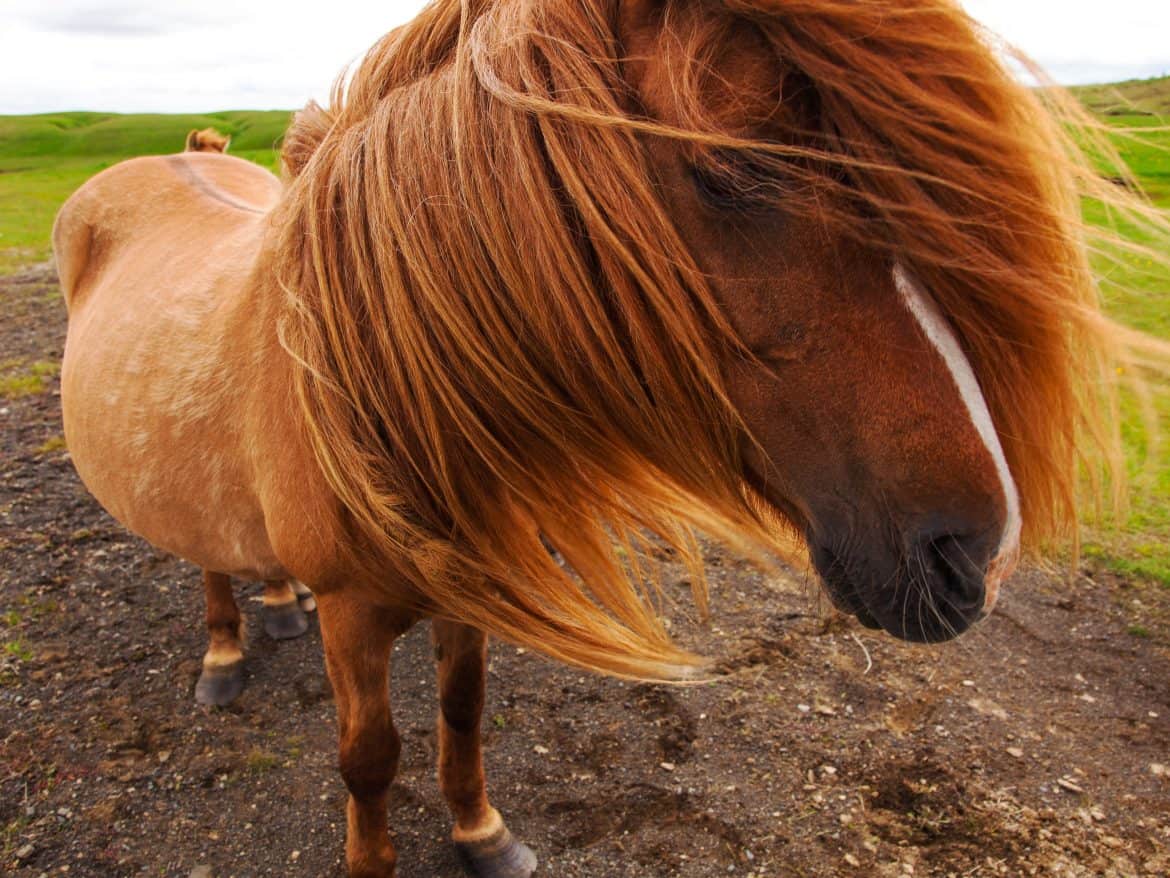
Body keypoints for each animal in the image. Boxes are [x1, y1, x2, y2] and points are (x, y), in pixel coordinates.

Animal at [52, 1, 1168, 875]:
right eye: (734, 171)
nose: (978, 554)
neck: (360, 379)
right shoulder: (356, 614)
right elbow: (369, 759)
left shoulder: (472, 585)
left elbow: (464, 713)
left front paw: (483, 832)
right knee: (199, 555)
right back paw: (226, 655)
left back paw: (273, 607)